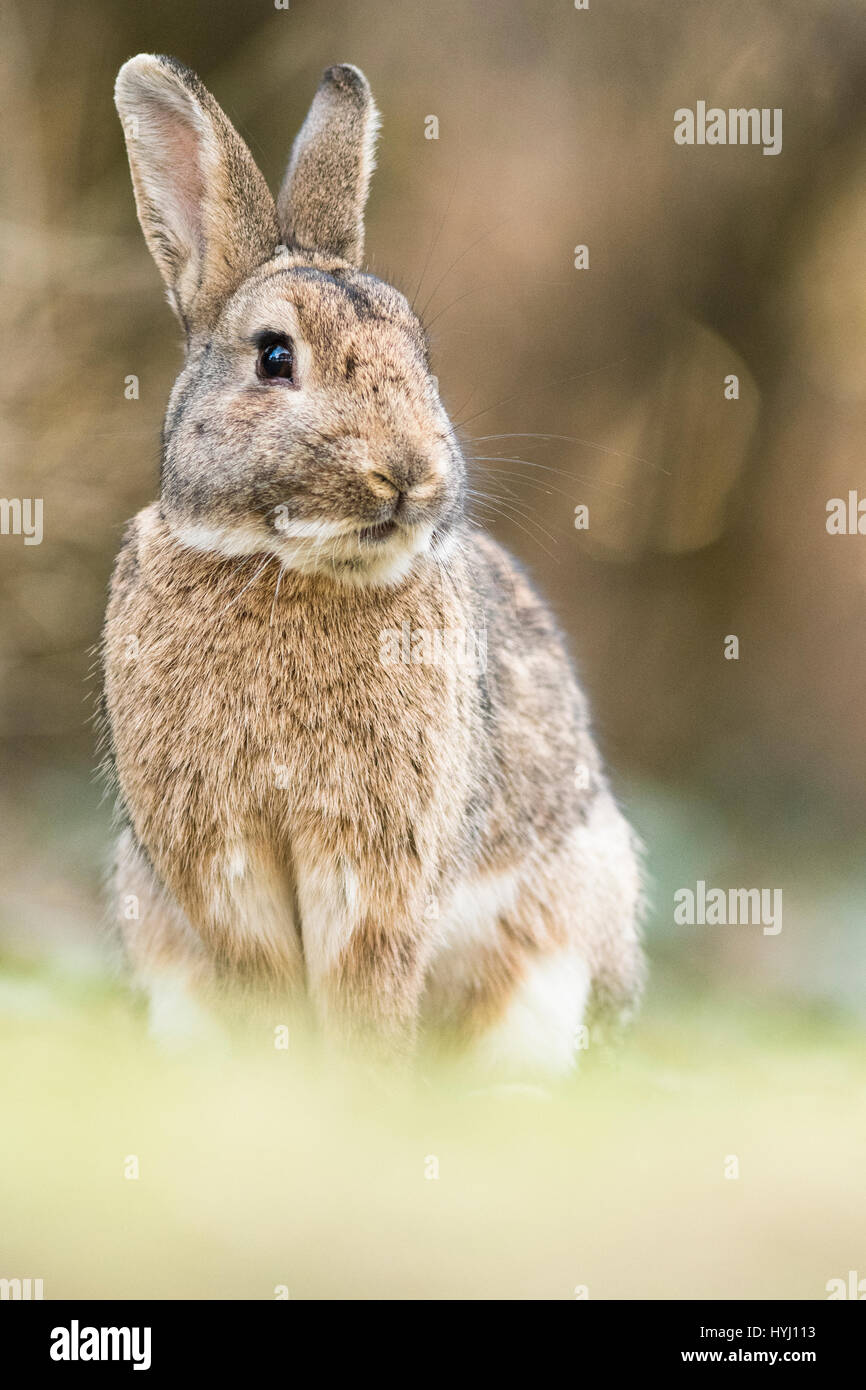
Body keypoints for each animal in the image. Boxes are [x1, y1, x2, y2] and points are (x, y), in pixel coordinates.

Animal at [101, 54, 644, 1075]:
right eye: (275, 356)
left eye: (420, 355)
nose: (411, 474)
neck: (285, 564)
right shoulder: (221, 860)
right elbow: (265, 982)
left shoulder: (381, 859)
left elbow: (363, 978)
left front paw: (358, 1093)